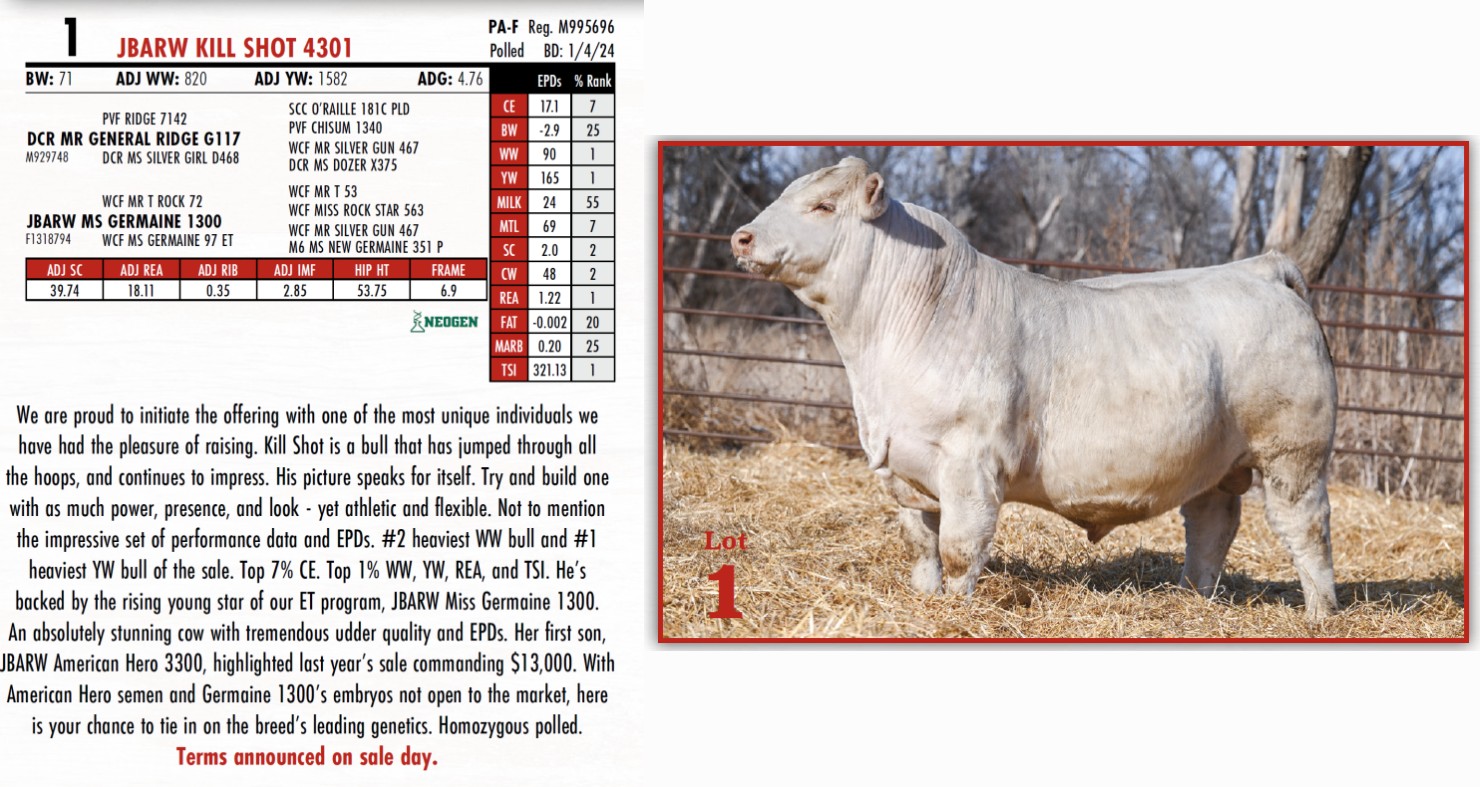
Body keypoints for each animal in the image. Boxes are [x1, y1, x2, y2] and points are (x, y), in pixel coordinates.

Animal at [730, 157, 1339, 622]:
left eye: (822, 207)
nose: (742, 235)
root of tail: (1261, 269)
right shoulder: (900, 467)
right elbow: (922, 547)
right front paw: (925, 598)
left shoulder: (970, 464)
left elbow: (959, 549)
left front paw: (955, 611)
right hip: (1213, 462)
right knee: (1211, 527)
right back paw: (1195, 599)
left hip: (1294, 454)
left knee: (1306, 528)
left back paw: (1318, 614)